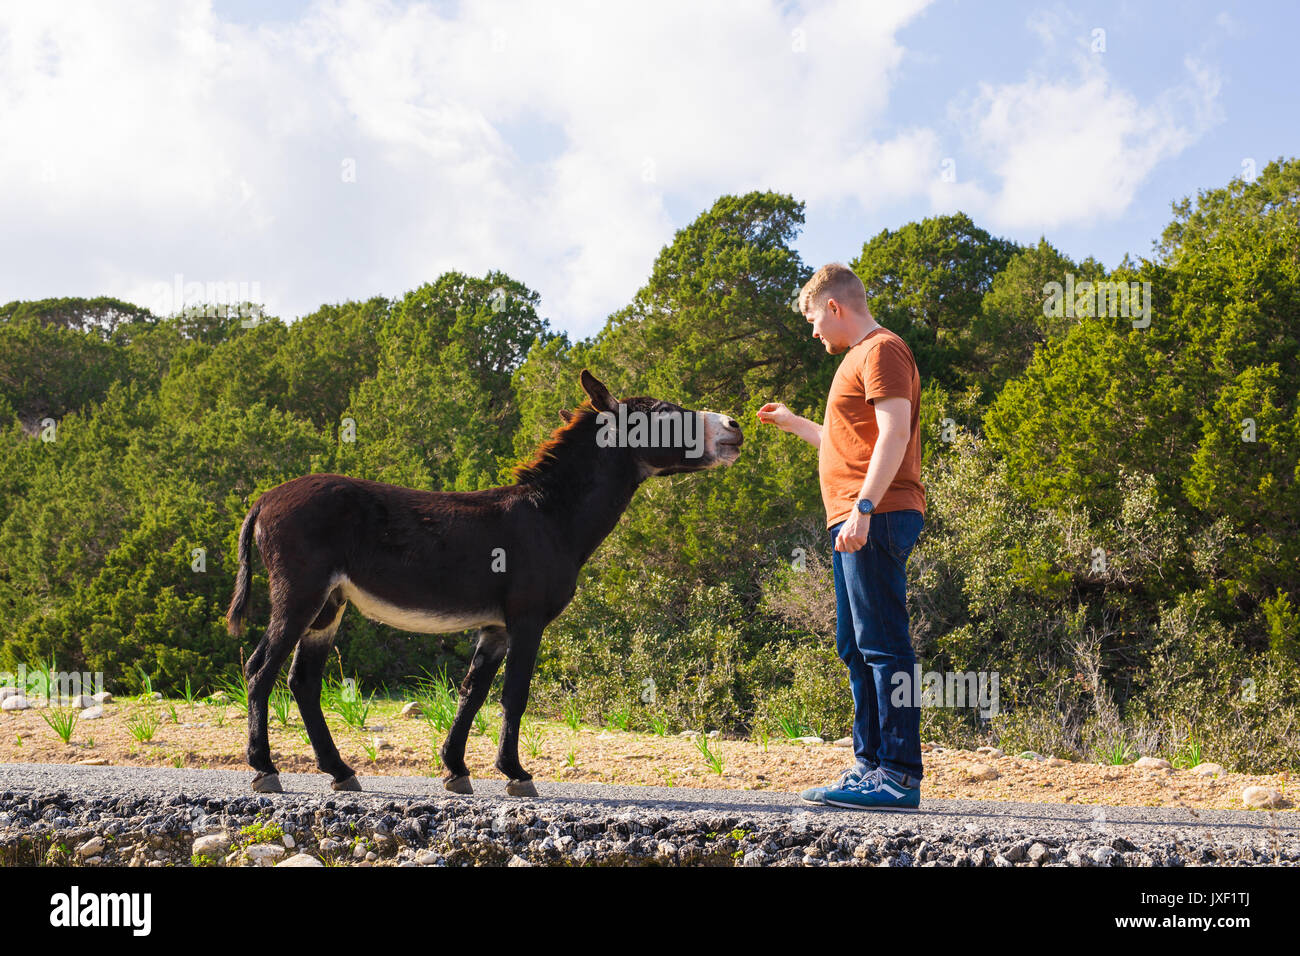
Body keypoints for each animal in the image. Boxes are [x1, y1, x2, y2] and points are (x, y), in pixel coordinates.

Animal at [225, 370, 743, 795]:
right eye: (663, 413)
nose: (736, 425)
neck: (551, 518)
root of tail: (265, 499)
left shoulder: (494, 628)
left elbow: (472, 693)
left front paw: (455, 769)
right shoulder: (527, 619)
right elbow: (514, 695)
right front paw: (516, 774)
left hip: (329, 604)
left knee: (302, 681)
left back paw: (340, 771)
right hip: (300, 594)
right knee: (259, 669)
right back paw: (265, 769)